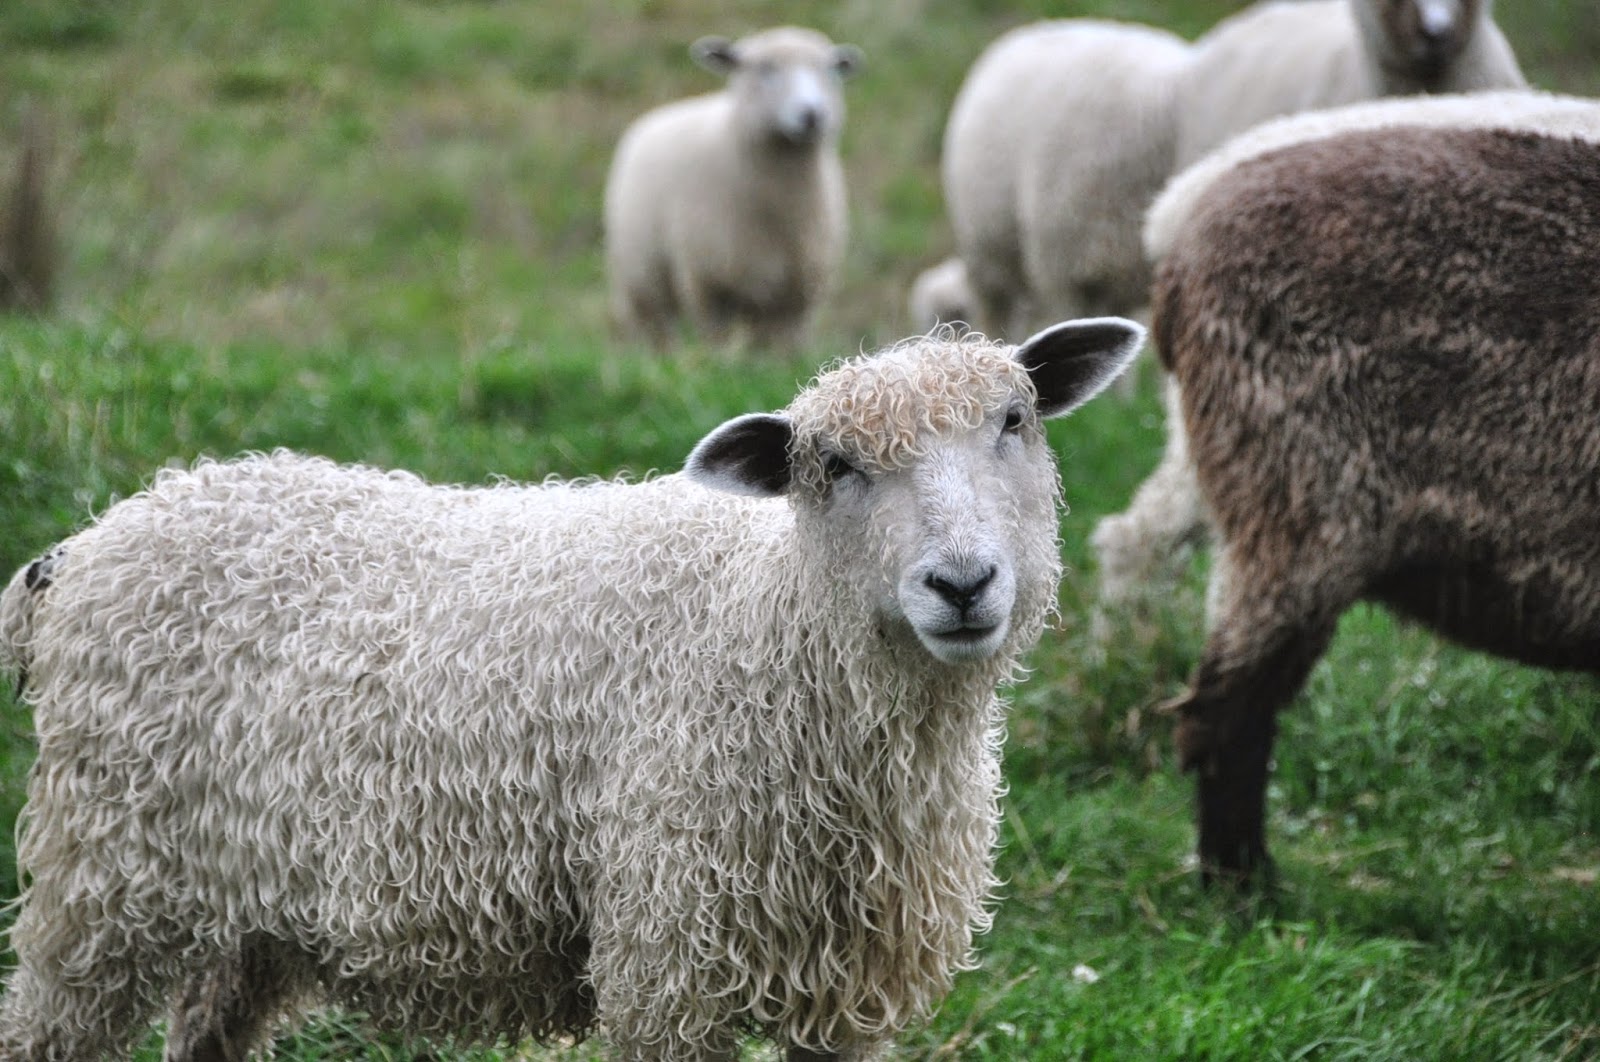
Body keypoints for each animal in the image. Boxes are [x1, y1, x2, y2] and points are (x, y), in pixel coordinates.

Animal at [0, 318, 1146, 1060]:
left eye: (1015, 419)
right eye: (832, 466)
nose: (962, 583)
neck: (768, 625)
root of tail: (92, 542)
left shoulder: (852, 990)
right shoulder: (667, 965)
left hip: (240, 917)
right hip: (96, 882)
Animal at [604, 27, 862, 353]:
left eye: (829, 70)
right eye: (765, 68)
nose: (812, 114)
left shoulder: (798, 291)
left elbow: (782, 352)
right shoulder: (710, 283)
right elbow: (716, 343)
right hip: (641, 277)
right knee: (656, 329)